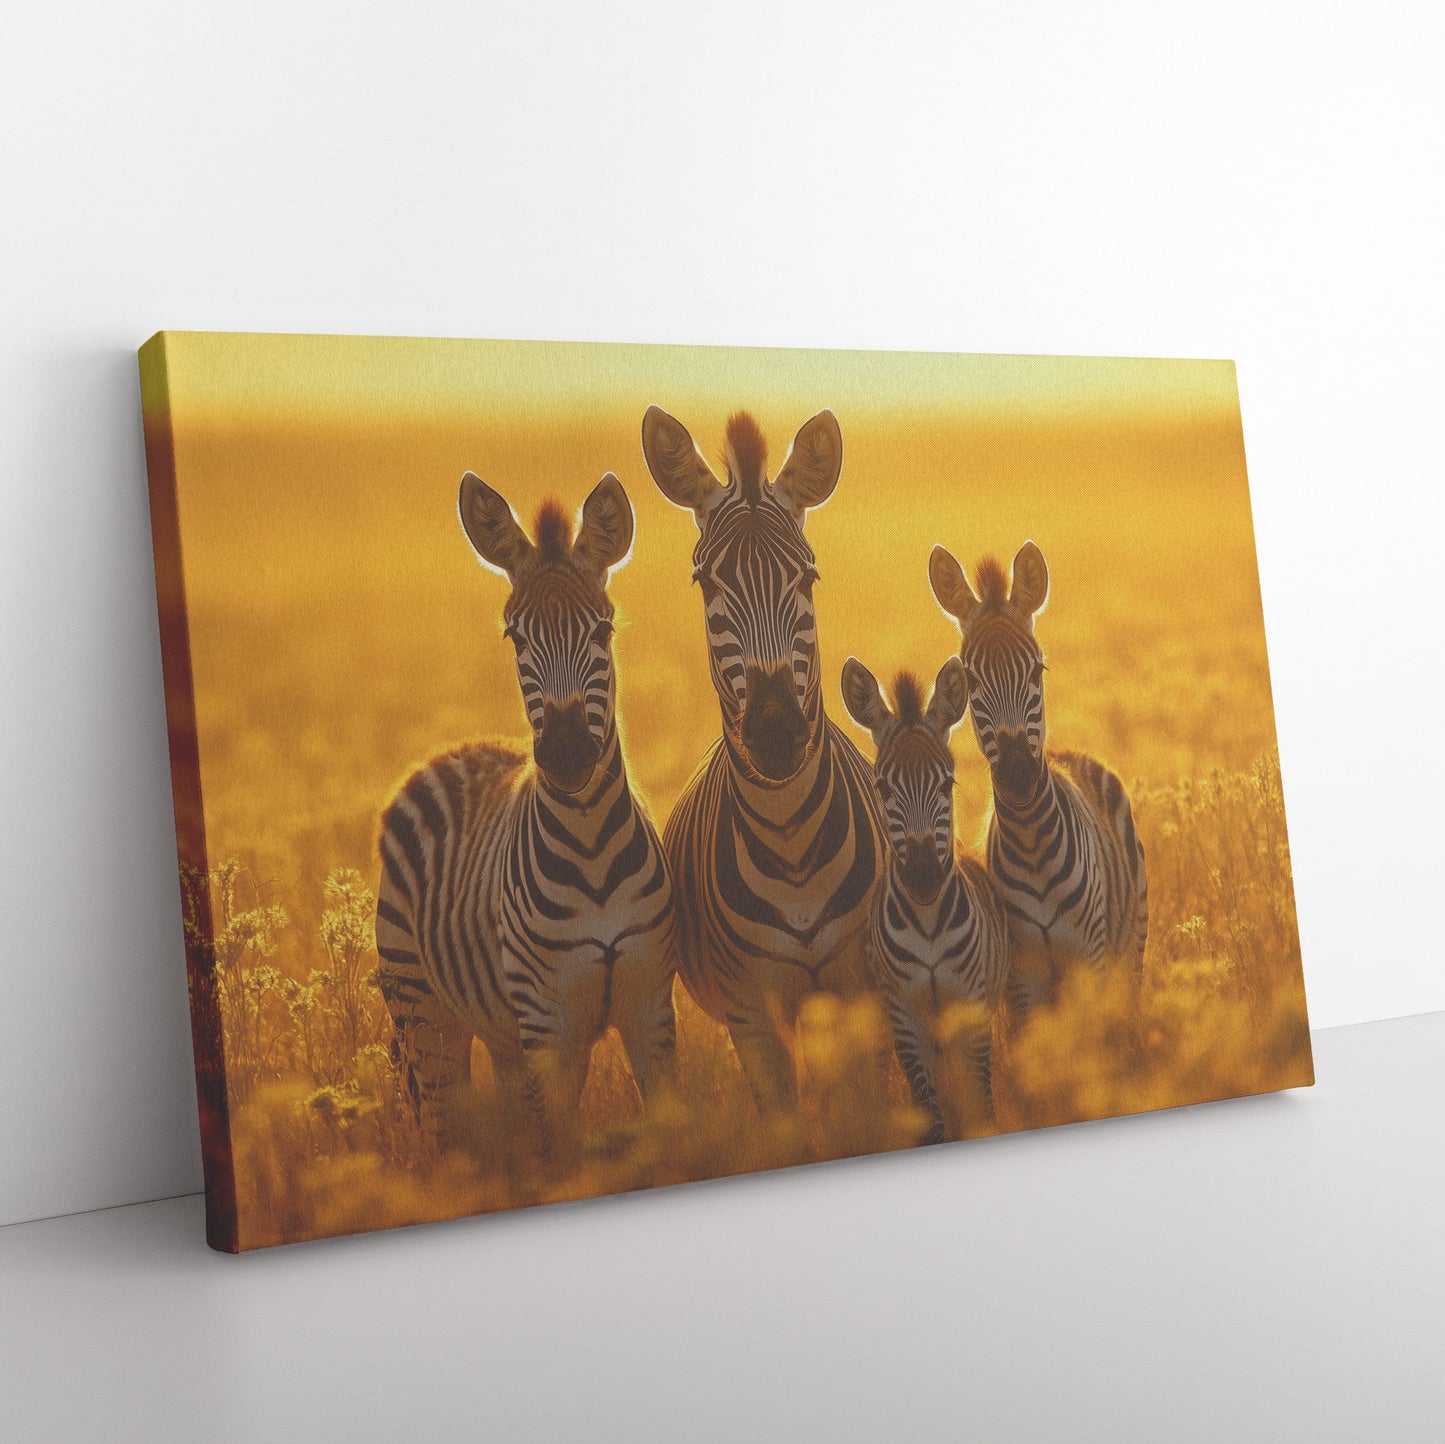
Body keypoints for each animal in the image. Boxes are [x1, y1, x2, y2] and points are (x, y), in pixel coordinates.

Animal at [374, 470, 676, 1156]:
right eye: (515, 636)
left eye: (604, 630)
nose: (564, 754)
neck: (591, 849)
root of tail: (457, 750)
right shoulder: (547, 1023)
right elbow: (560, 1148)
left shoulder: (649, 1005)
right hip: (422, 1012)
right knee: (445, 1133)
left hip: (498, 1031)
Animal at [641, 405, 887, 1111]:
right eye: (705, 584)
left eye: (807, 577)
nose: (776, 733)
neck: (790, 840)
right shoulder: (750, 1011)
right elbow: (787, 1117)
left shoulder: (864, 991)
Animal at [841, 656, 1011, 1144]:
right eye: (883, 788)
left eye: (947, 783)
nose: (922, 878)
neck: (929, 923)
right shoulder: (906, 1021)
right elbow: (931, 1123)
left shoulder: (970, 1012)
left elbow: (982, 1108)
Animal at [928, 540, 1148, 1026]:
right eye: (971, 679)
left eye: (1037, 671)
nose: (1017, 774)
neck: (1031, 842)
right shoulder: (1023, 980)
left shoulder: (1091, 960)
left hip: (1130, 950)